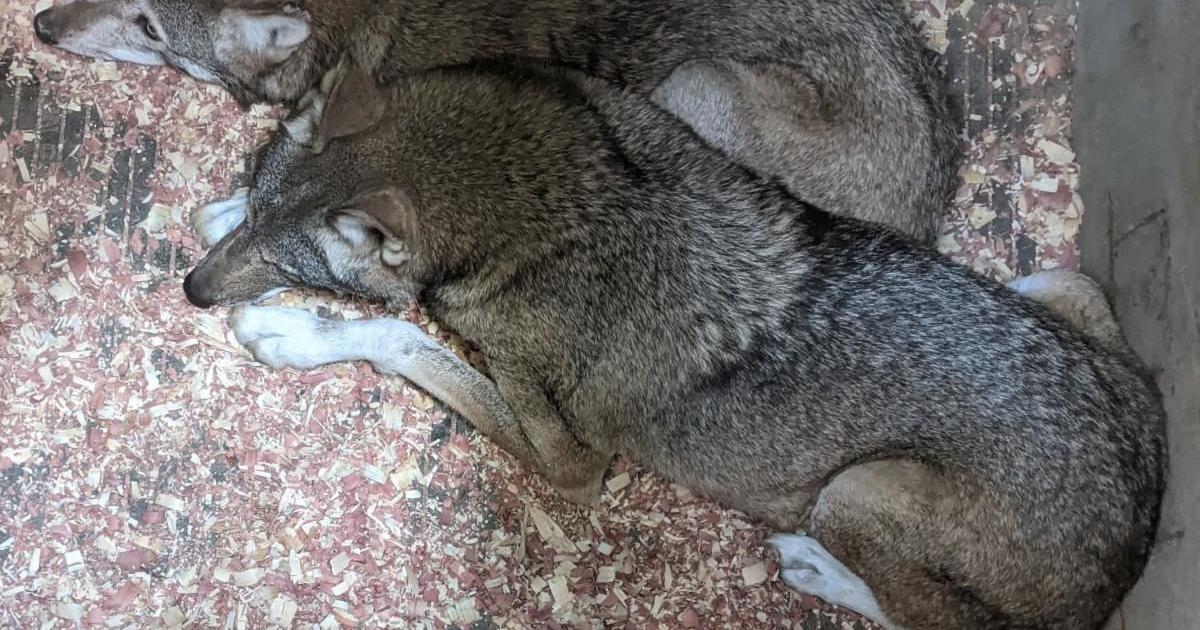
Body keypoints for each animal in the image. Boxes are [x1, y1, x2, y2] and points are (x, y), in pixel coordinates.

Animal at [182, 60, 1165, 629]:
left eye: (297, 267)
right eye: (258, 207)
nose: (190, 291)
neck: (556, 203)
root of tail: (1140, 537)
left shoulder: (571, 463)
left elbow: (400, 338)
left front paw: (288, 329)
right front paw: (215, 215)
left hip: (860, 488)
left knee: (919, 620)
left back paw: (817, 568)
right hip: (1056, 288)